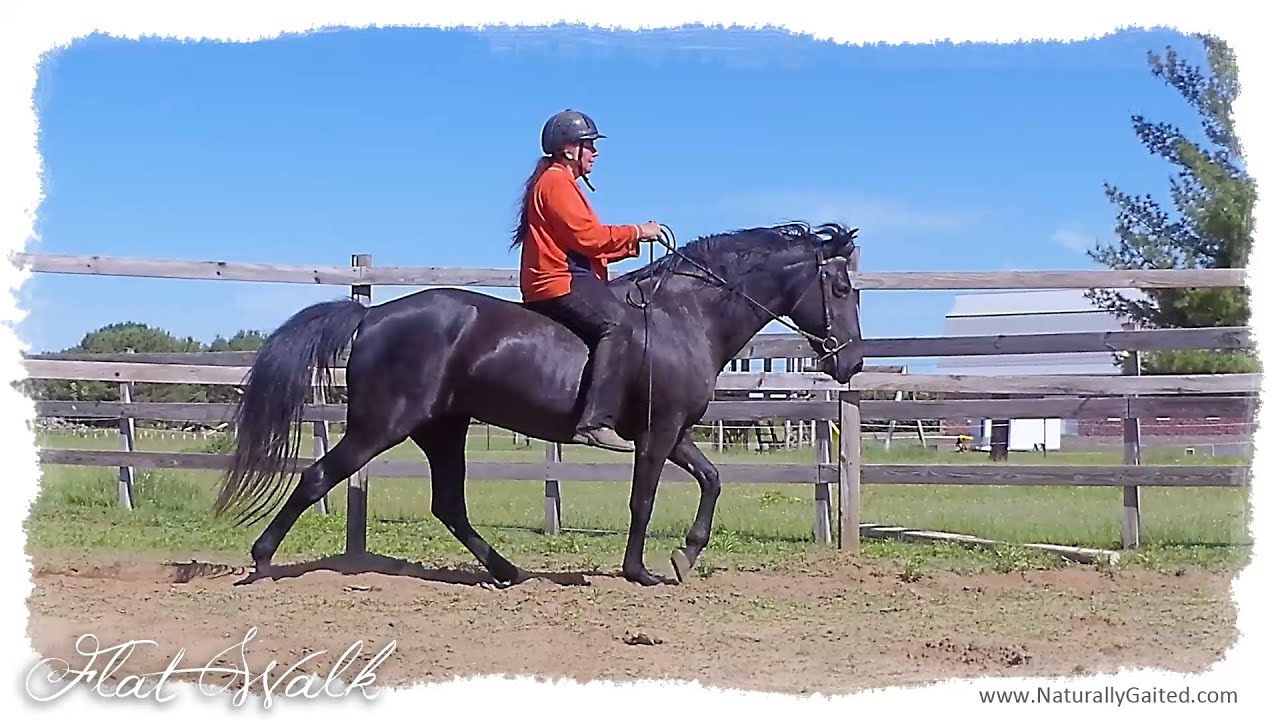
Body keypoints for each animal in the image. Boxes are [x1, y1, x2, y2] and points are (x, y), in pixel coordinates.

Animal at [212, 221, 864, 587]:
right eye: (840, 287)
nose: (852, 362)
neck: (684, 316)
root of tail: (372, 315)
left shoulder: (674, 432)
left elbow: (712, 479)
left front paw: (687, 555)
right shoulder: (657, 435)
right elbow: (643, 500)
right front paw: (641, 571)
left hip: (442, 429)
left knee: (449, 505)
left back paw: (507, 572)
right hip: (382, 425)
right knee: (319, 476)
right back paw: (262, 561)